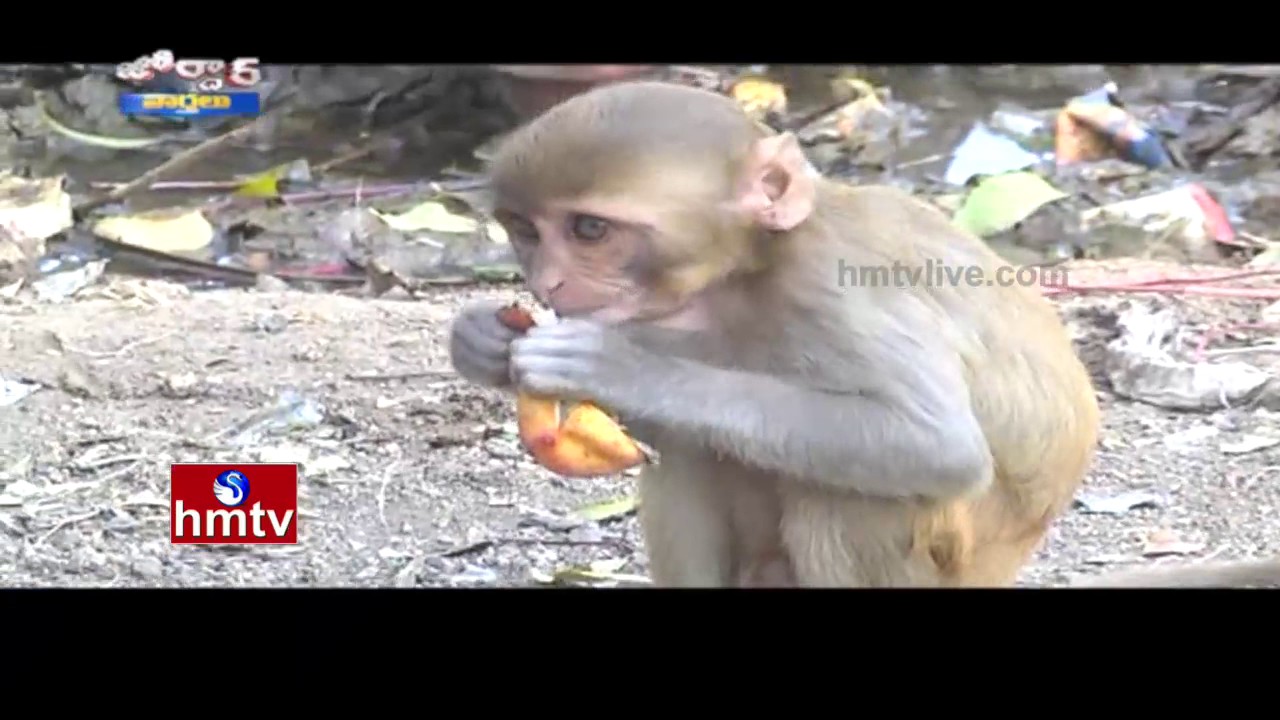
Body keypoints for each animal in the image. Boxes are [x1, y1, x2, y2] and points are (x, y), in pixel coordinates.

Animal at [449, 80, 1280, 588]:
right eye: (526, 231)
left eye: (590, 230)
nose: (550, 284)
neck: (751, 273)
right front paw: (483, 341)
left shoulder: (840, 292)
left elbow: (935, 445)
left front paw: (619, 366)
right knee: (693, 452)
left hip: (955, 562)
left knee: (854, 490)